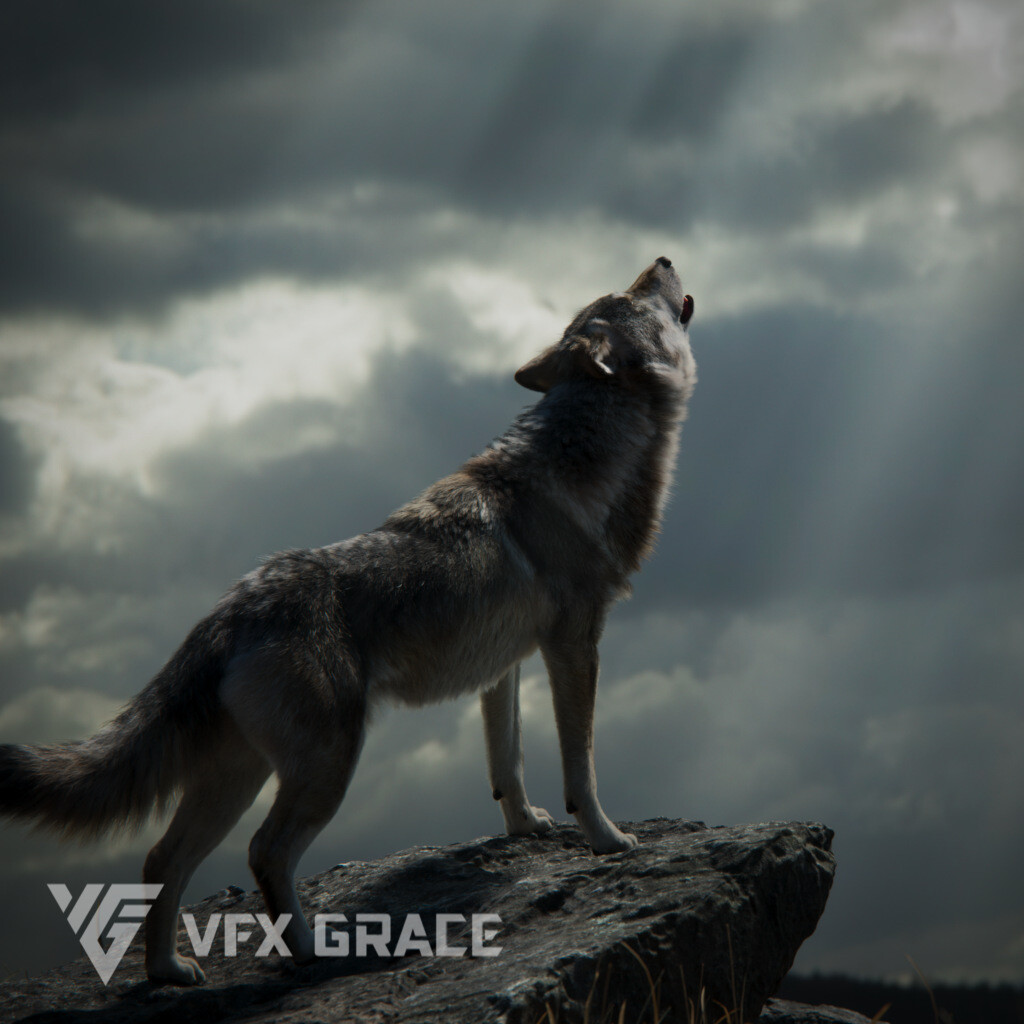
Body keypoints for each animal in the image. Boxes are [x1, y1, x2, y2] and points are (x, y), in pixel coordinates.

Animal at [0, 258, 695, 985]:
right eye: (631, 293)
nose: (664, 258)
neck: (587, 456)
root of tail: (232, 610)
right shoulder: (574, 645)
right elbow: (580, 764)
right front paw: (608, 840)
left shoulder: (503, 667)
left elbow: (508, 762)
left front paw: (528, 827)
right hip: (326, 768)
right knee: (264, 852)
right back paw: (311, 954)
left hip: (239, 779)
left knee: (163, 858)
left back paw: (169, 972)